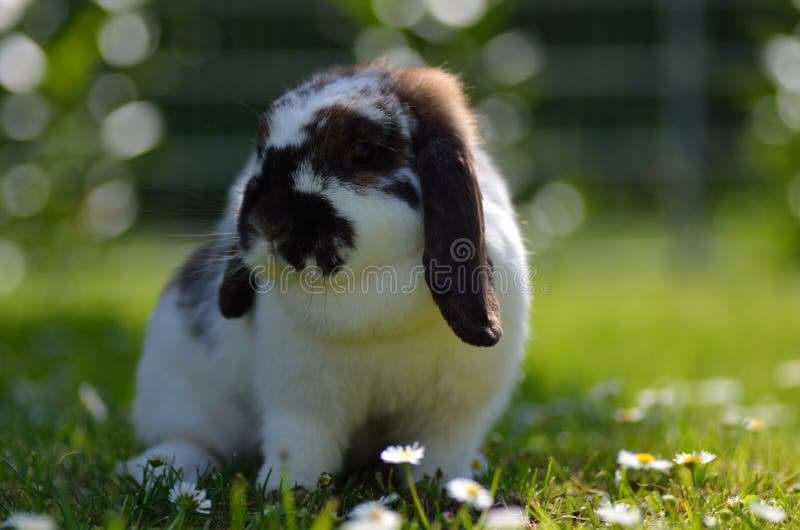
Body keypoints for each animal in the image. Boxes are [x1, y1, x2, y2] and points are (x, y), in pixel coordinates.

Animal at [123, 63, 531, 491]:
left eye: (362, 151)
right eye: (261, 149)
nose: (267, 223)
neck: (373, 289)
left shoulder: (454, 414)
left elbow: (442, 455)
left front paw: (444, 489)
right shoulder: (301, 401)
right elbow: (299, 443)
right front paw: (285, 490)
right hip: (181, 389)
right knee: (194, 437)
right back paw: (159, 466)